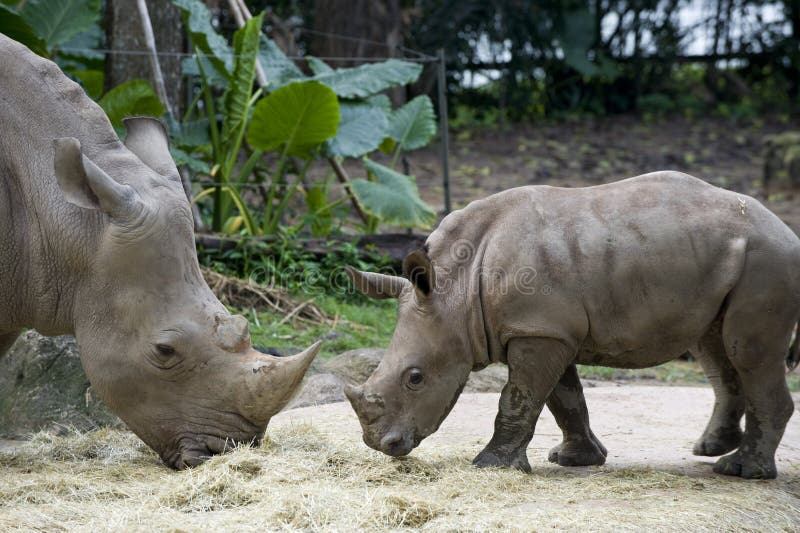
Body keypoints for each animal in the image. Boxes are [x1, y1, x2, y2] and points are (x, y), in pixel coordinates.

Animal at [345, 171, 800, 479]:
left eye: (415, 378)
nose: (379, 445)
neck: (456, 293)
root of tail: (786, 229)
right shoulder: (548, 329)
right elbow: (563, 399)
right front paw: (576, 460)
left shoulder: (539, 331)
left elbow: (518, 399)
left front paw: (490, 466)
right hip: (721, 263)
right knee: (716, 349)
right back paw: (710, 449)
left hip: (767, 261)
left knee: (749, 353)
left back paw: (740, 470)